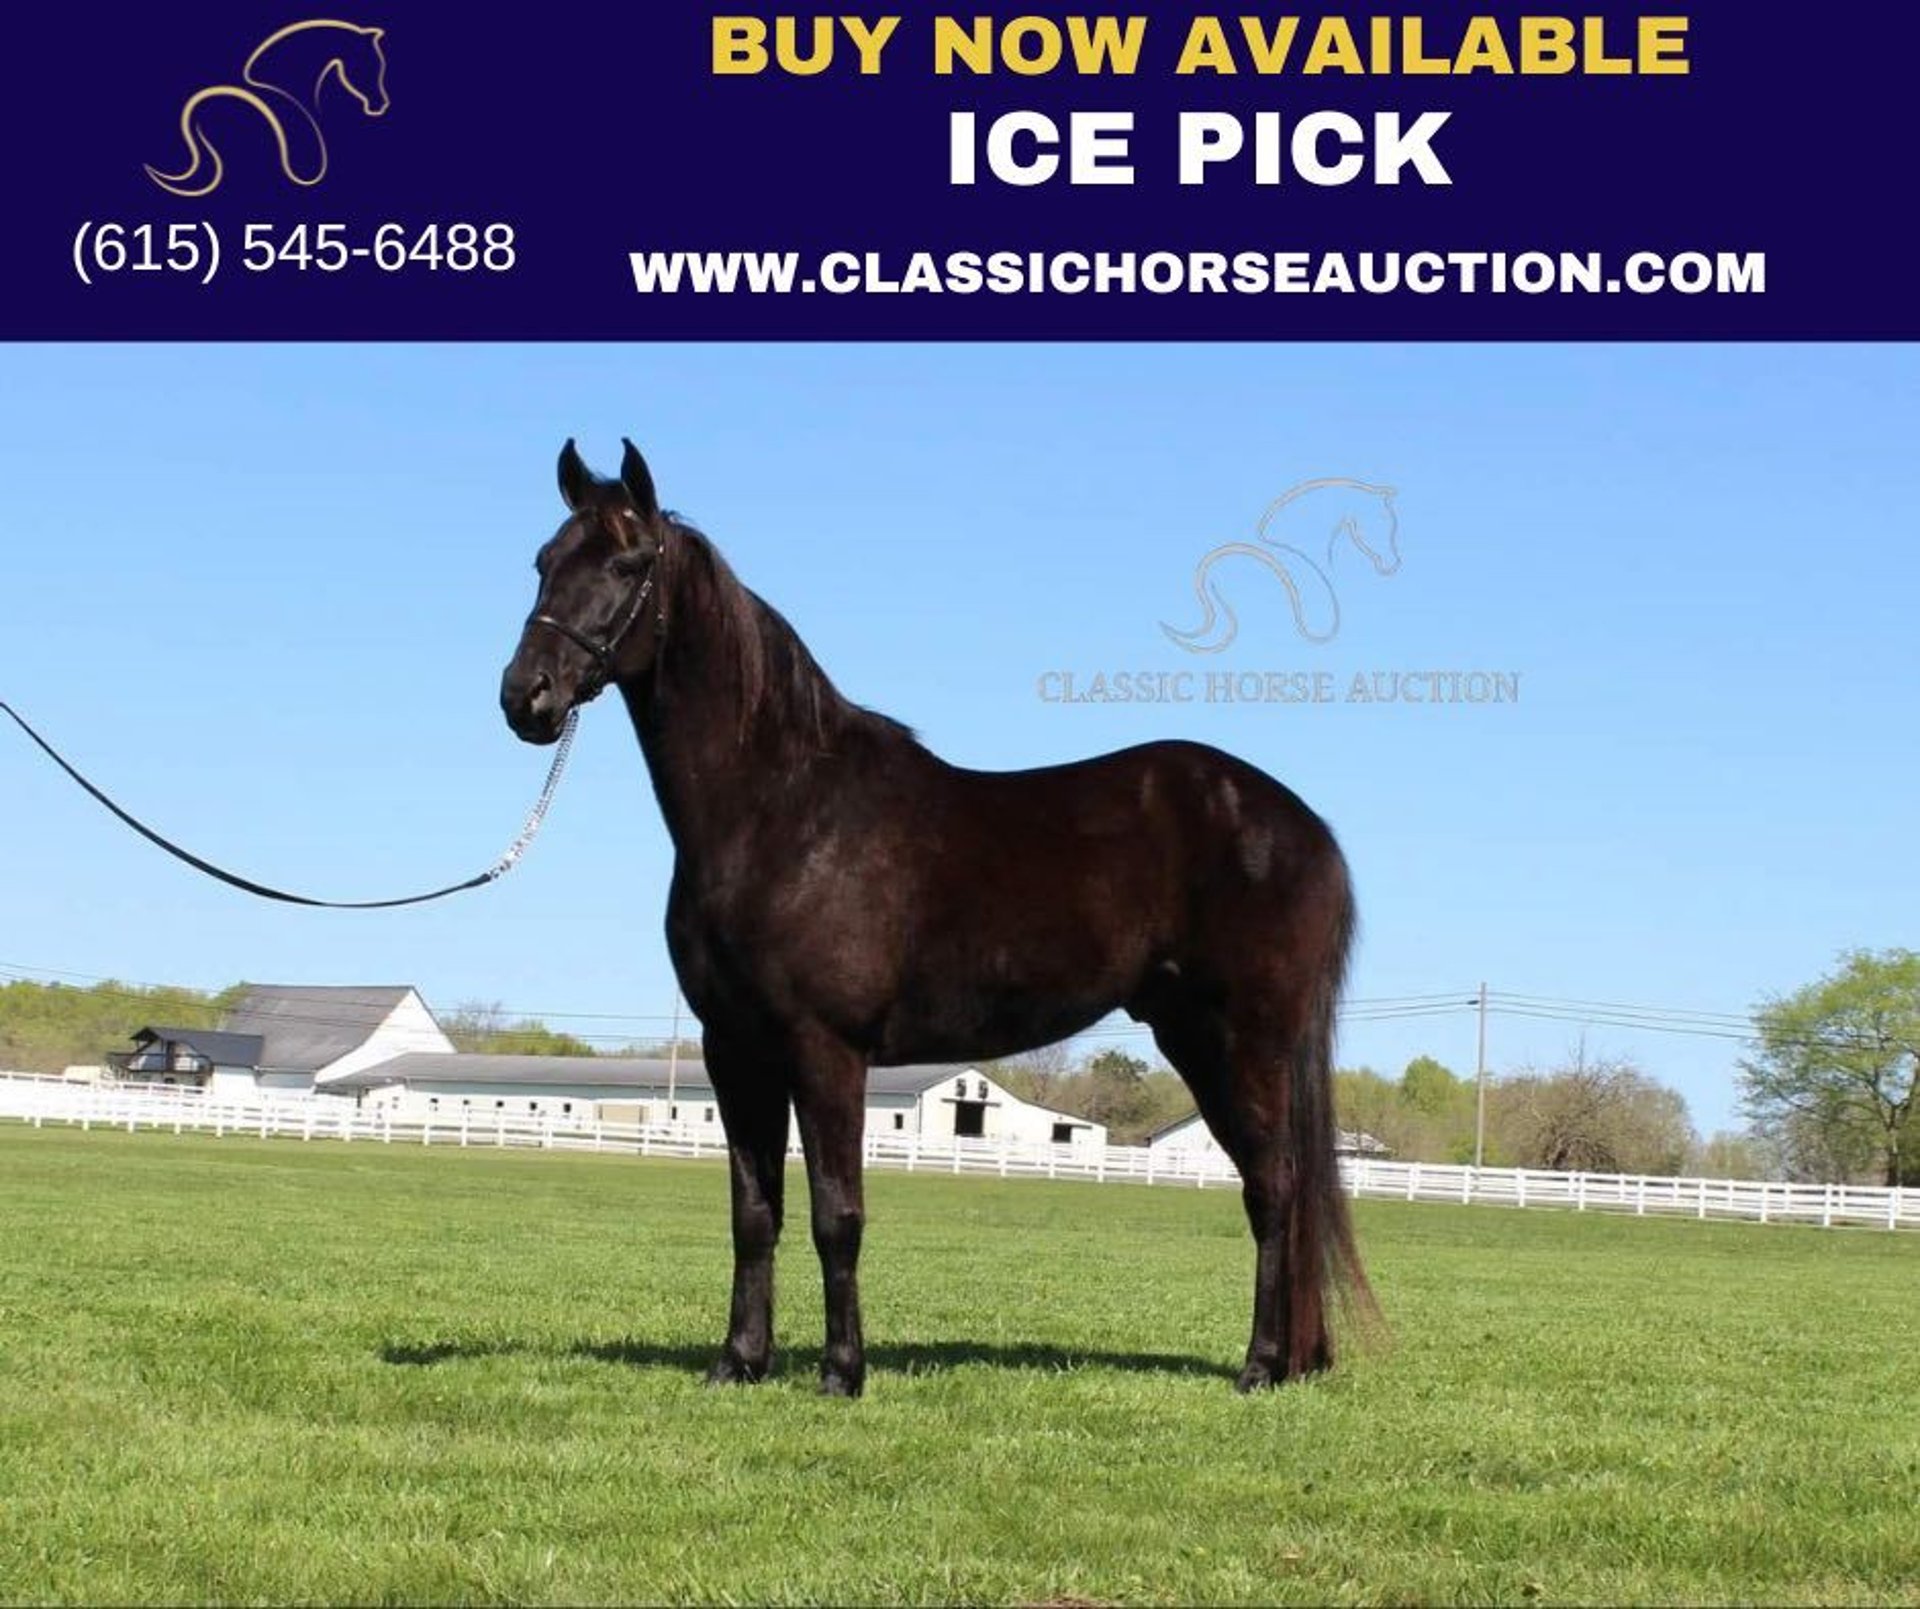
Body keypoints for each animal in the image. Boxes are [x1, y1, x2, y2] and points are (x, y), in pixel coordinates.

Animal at [500, 439, 1375, 1396]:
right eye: (544, 561)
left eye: (627, 564)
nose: (525, 697)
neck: (784, 808)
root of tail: (1304, 826)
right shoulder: (735, 1049)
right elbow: (754, 1211)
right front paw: (739, 1360)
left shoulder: (826, 1048)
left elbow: (837, 1212)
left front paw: (842, 1371)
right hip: (1197, 1037)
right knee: (1271, 1184)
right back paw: (1287, 1360)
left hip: (1245, 1038)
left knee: (1275, 1186)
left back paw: (1260, 1366)